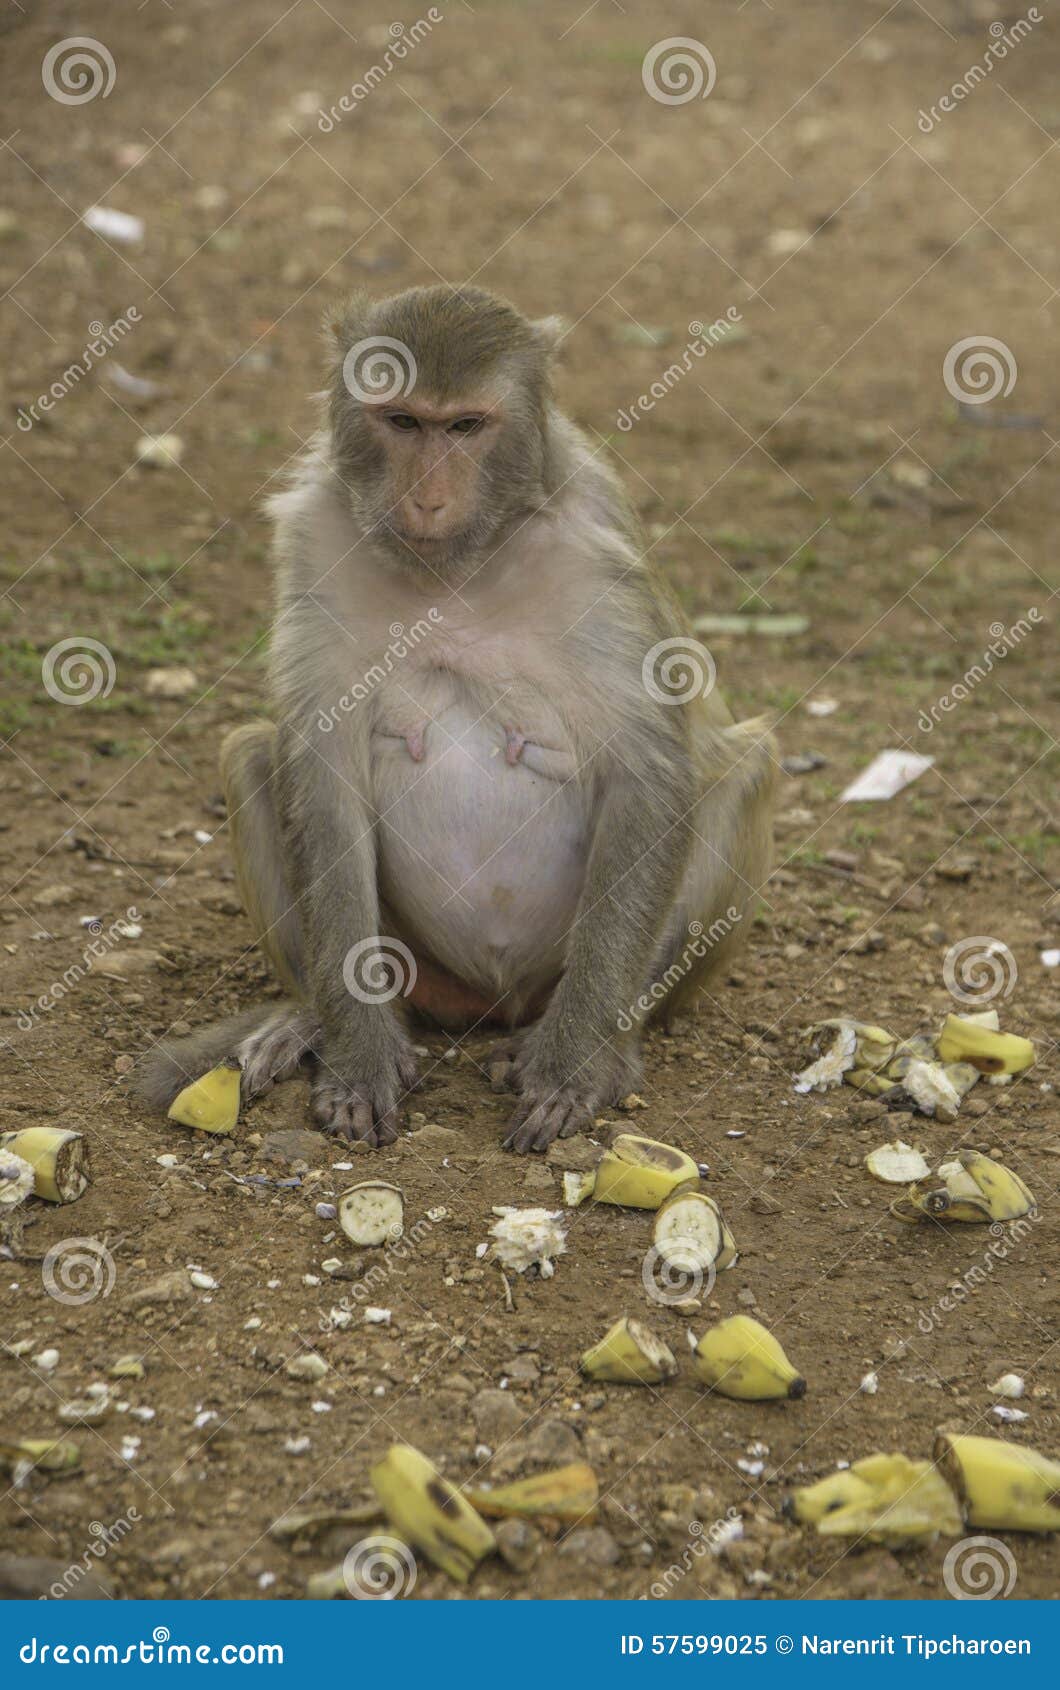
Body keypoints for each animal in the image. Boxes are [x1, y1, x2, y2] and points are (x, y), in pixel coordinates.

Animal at [137, 284, 776, 1153]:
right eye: (404, 422)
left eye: (466, 426)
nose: (428, 498)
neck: (461, 567)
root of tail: (488, 1003)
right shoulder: (314, 537)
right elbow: (320, 774)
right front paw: (360, 1061)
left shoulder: (599, 541)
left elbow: (651, 776)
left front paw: (573, 1069)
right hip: (415, 971)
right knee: (251, 754)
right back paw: (312, 1020)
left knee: (744, 765)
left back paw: (607, 1047)